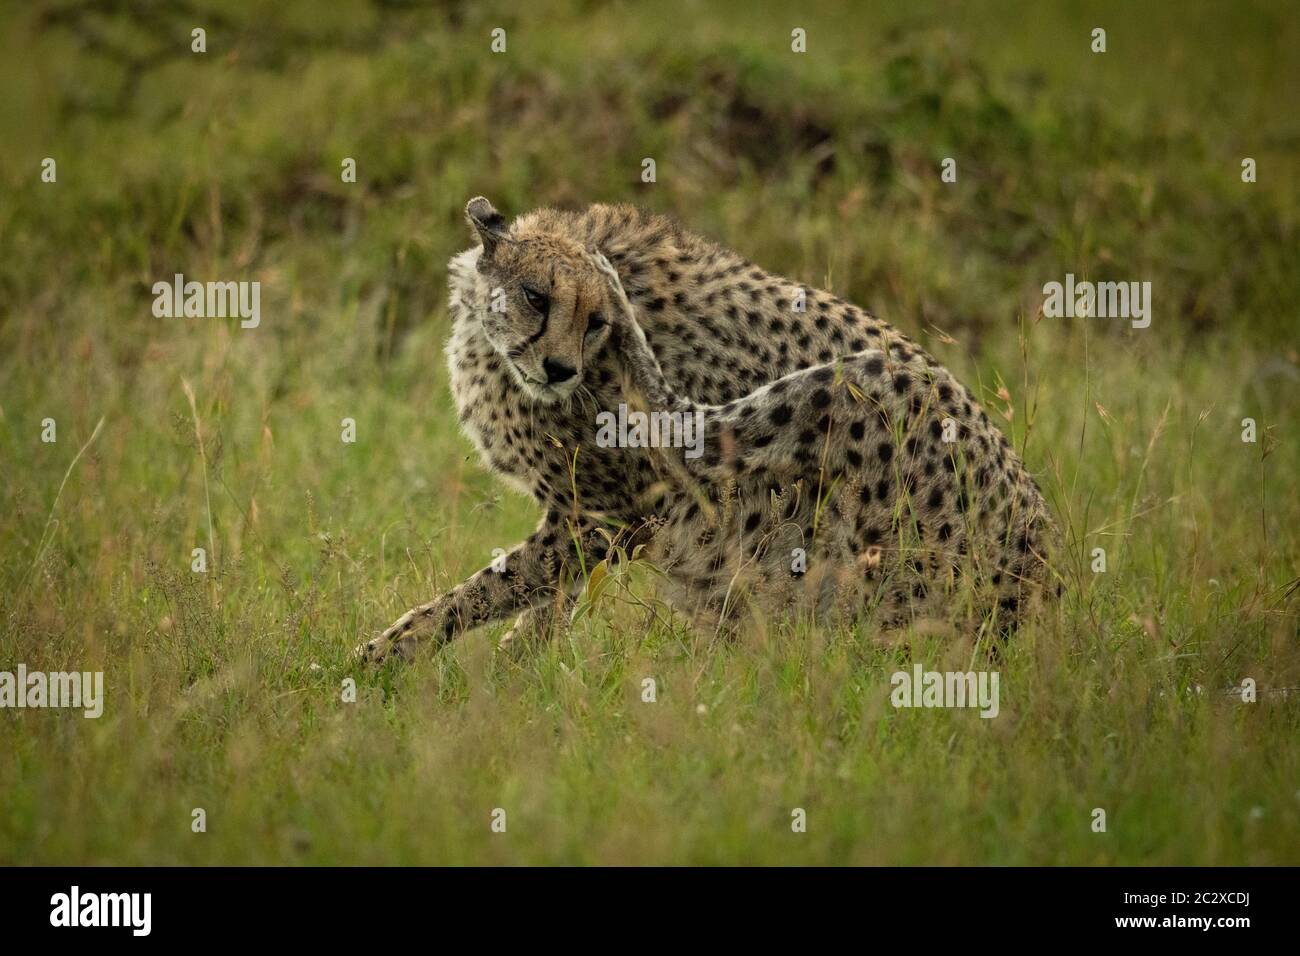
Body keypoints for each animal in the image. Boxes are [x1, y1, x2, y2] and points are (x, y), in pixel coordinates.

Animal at [360, 196, 1058, 662]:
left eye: (593, 324)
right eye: (536, 297)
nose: (559, 369)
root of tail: (1042, 592)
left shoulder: (609, 514)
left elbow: (499, 586)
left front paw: (387, 657)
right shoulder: (587, 518)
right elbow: (542, 595)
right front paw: (515, 671)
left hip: (861, 388)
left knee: (688, 419)